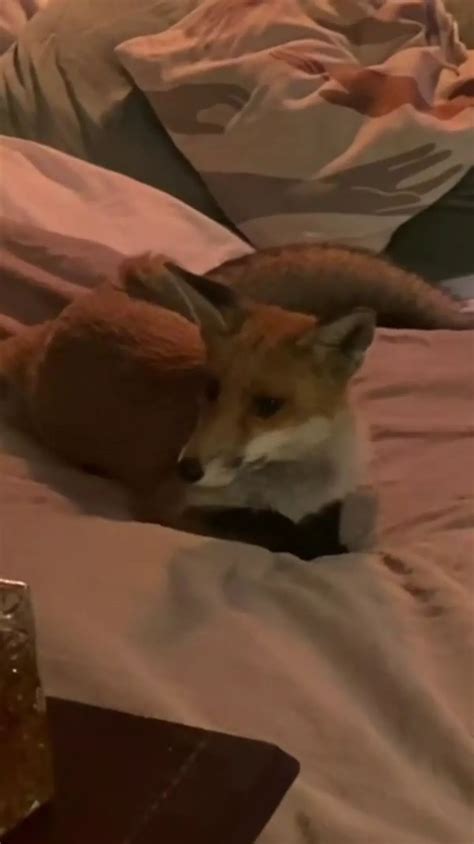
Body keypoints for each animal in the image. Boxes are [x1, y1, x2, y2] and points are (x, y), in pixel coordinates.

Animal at [0, 243, 472, 557]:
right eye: (211, 389)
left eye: (268, 406)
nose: (187, 469)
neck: (292, 477)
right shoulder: (169, 506)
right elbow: (279, 534)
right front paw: (309, 541)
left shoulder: (334, 492)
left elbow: (324, 520)